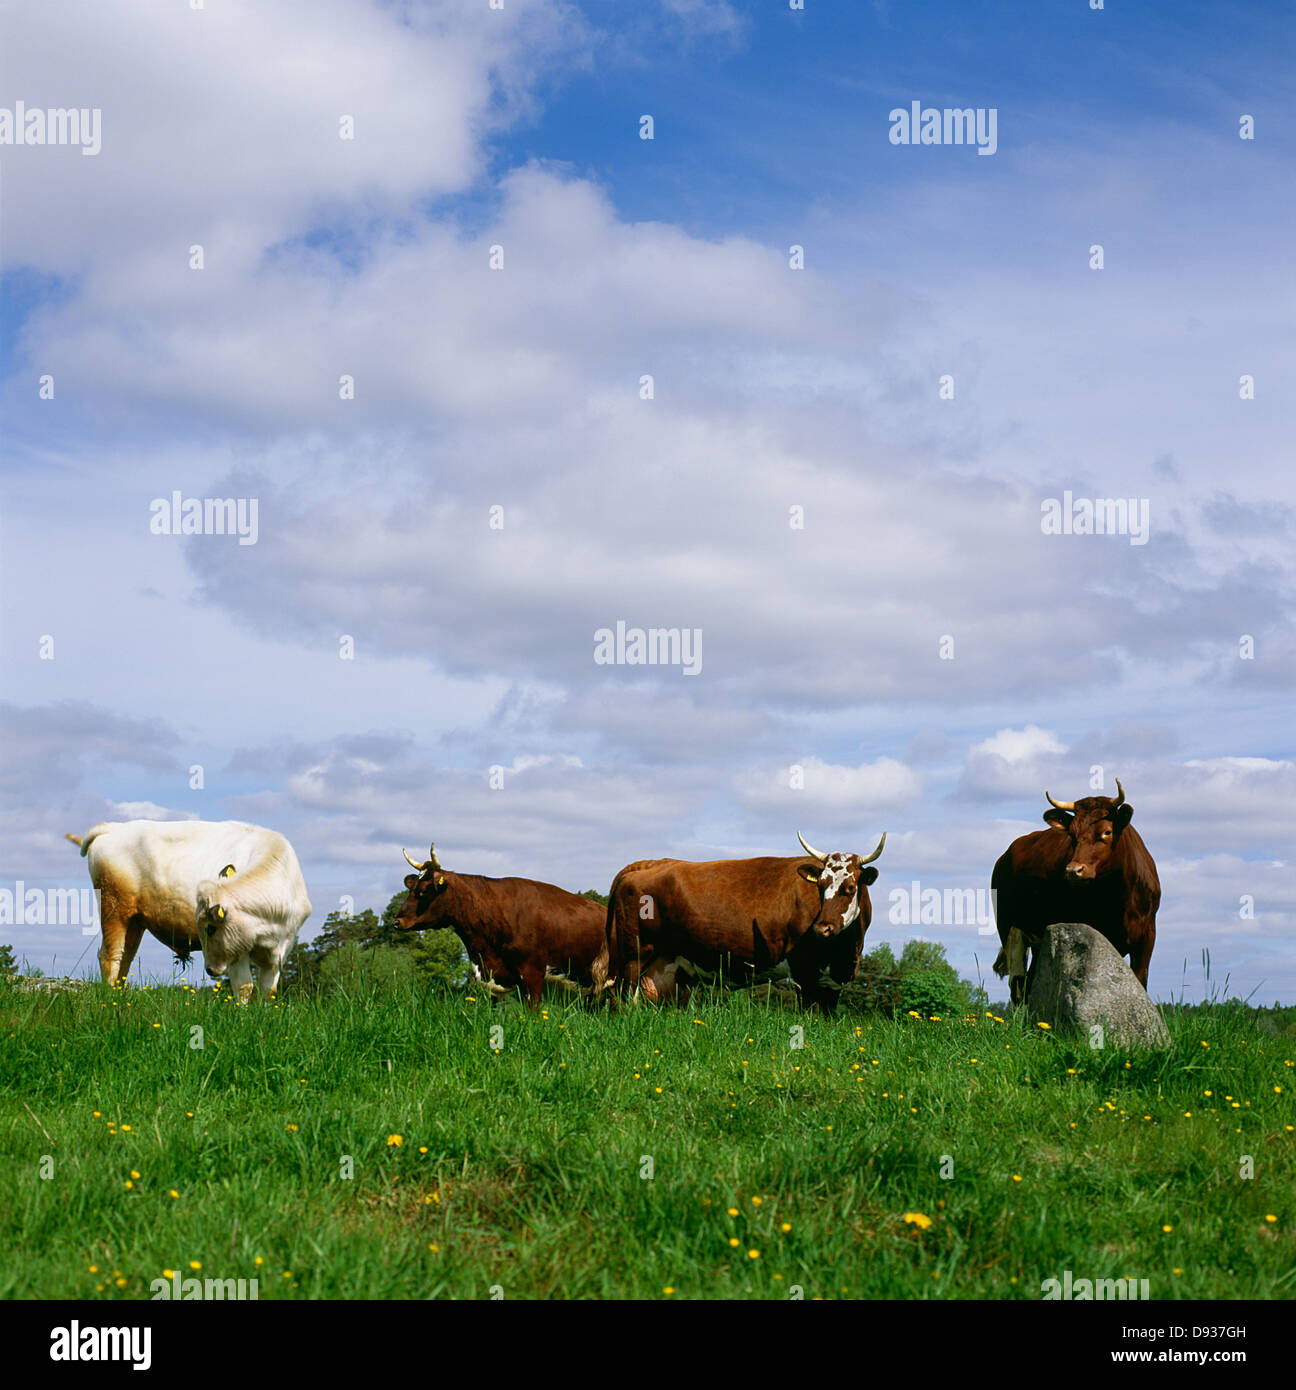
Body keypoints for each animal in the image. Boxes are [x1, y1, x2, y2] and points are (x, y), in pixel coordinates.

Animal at [66, 820, 312, 1000]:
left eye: (211, 929)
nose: (210, 970)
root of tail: (114, 827)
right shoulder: (237, 949)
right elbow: (244, 986)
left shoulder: (283, 947)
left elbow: (268, 992)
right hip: (114, 909)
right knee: (110, 956)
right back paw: (109, 999)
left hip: (135, 921)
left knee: (125, 958)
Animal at [597, 831, 886, 1012]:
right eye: (820, 886)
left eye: (850, 887)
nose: (821, 928)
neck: (844, 954)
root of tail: (650, 863)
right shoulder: (804, 971)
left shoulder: (833, 982)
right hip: (632, 956)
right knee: (621, 1001)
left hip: (668, 969)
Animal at [991, 780, 1159, 1004]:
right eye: (1072, 834)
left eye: (1107, 832)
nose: (1073, 870)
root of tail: (1007, 854)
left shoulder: (1147, 935)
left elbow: (1140, 981)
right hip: (1009, 928)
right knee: (1018, 984)